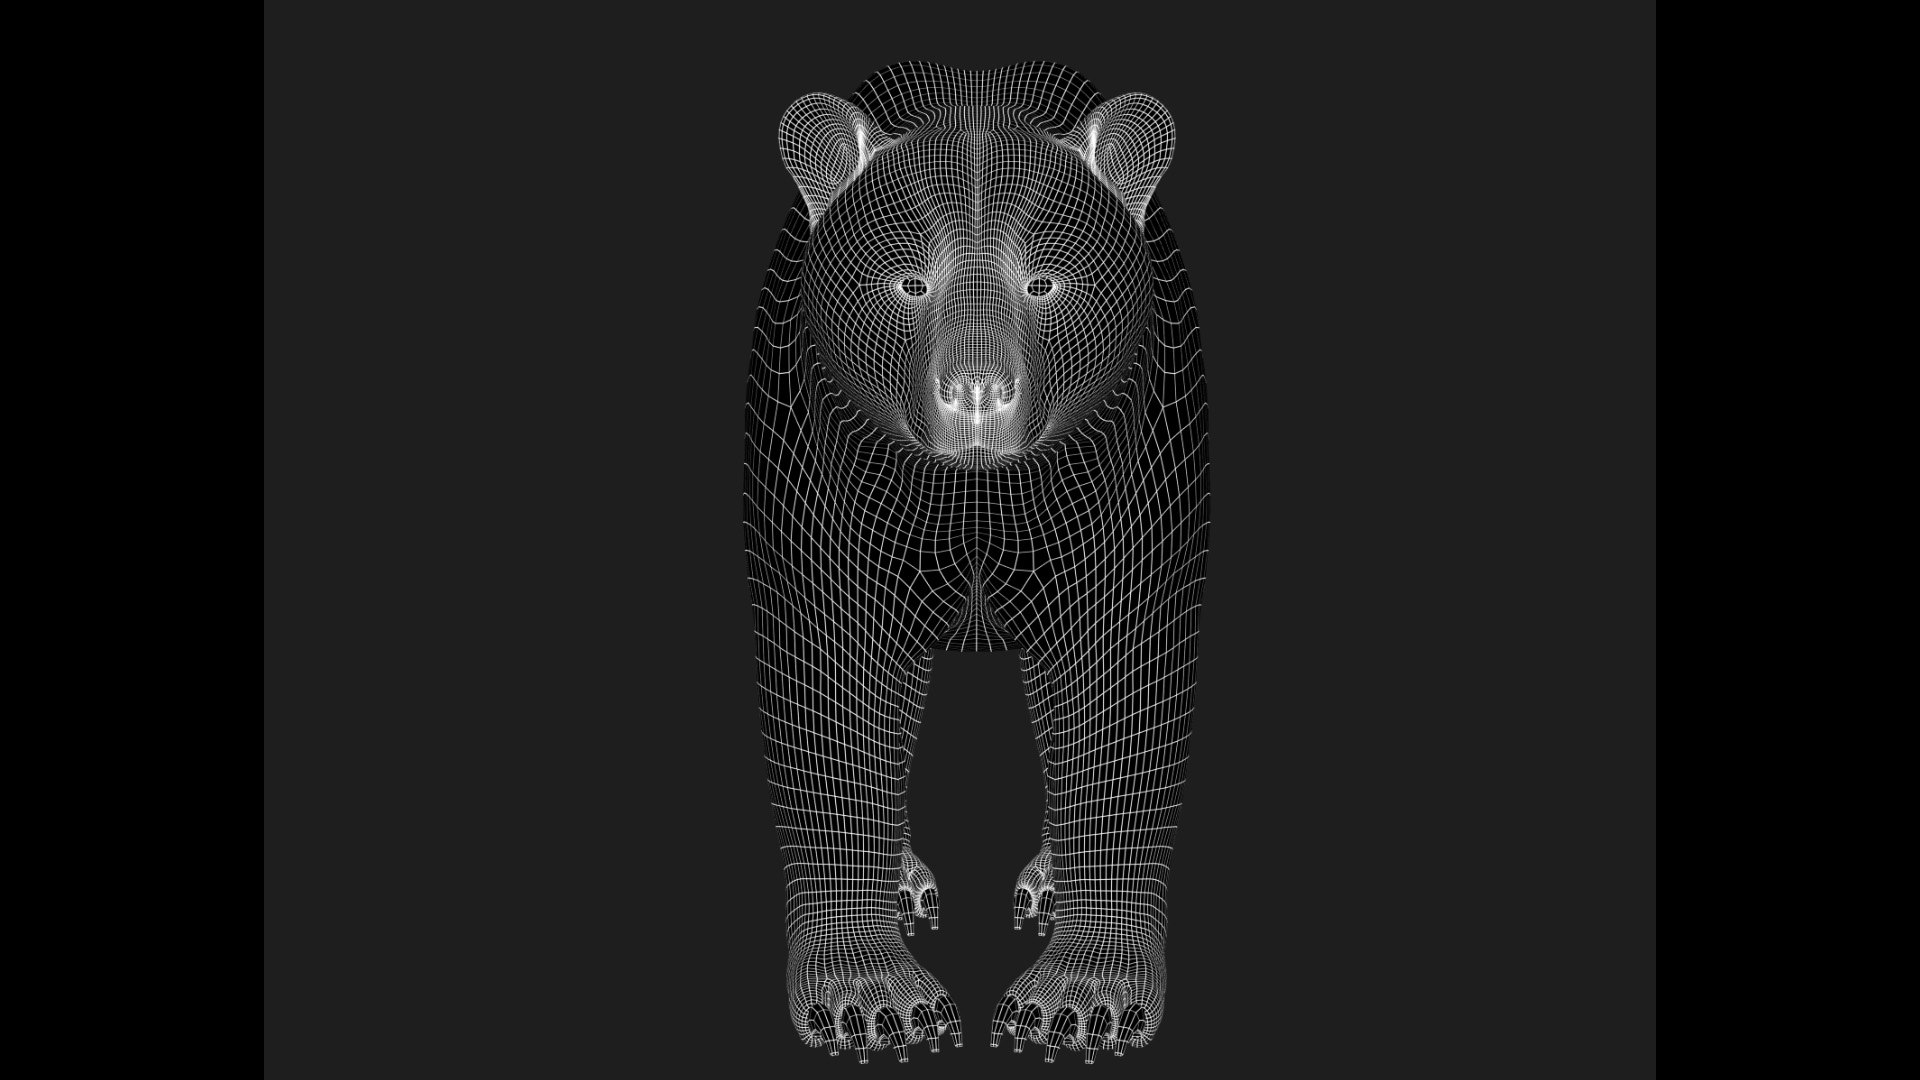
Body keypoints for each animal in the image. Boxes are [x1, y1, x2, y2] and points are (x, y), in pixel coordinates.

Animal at [745, 61, 1208, 1064]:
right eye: (909, 280)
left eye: (1045, 280)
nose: (978, 392)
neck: (976, 490)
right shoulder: (815, 455)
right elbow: (833, 687)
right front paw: (871, 1003)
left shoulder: (1138, 454)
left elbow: (1120, 686)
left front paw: (1082, 1002)